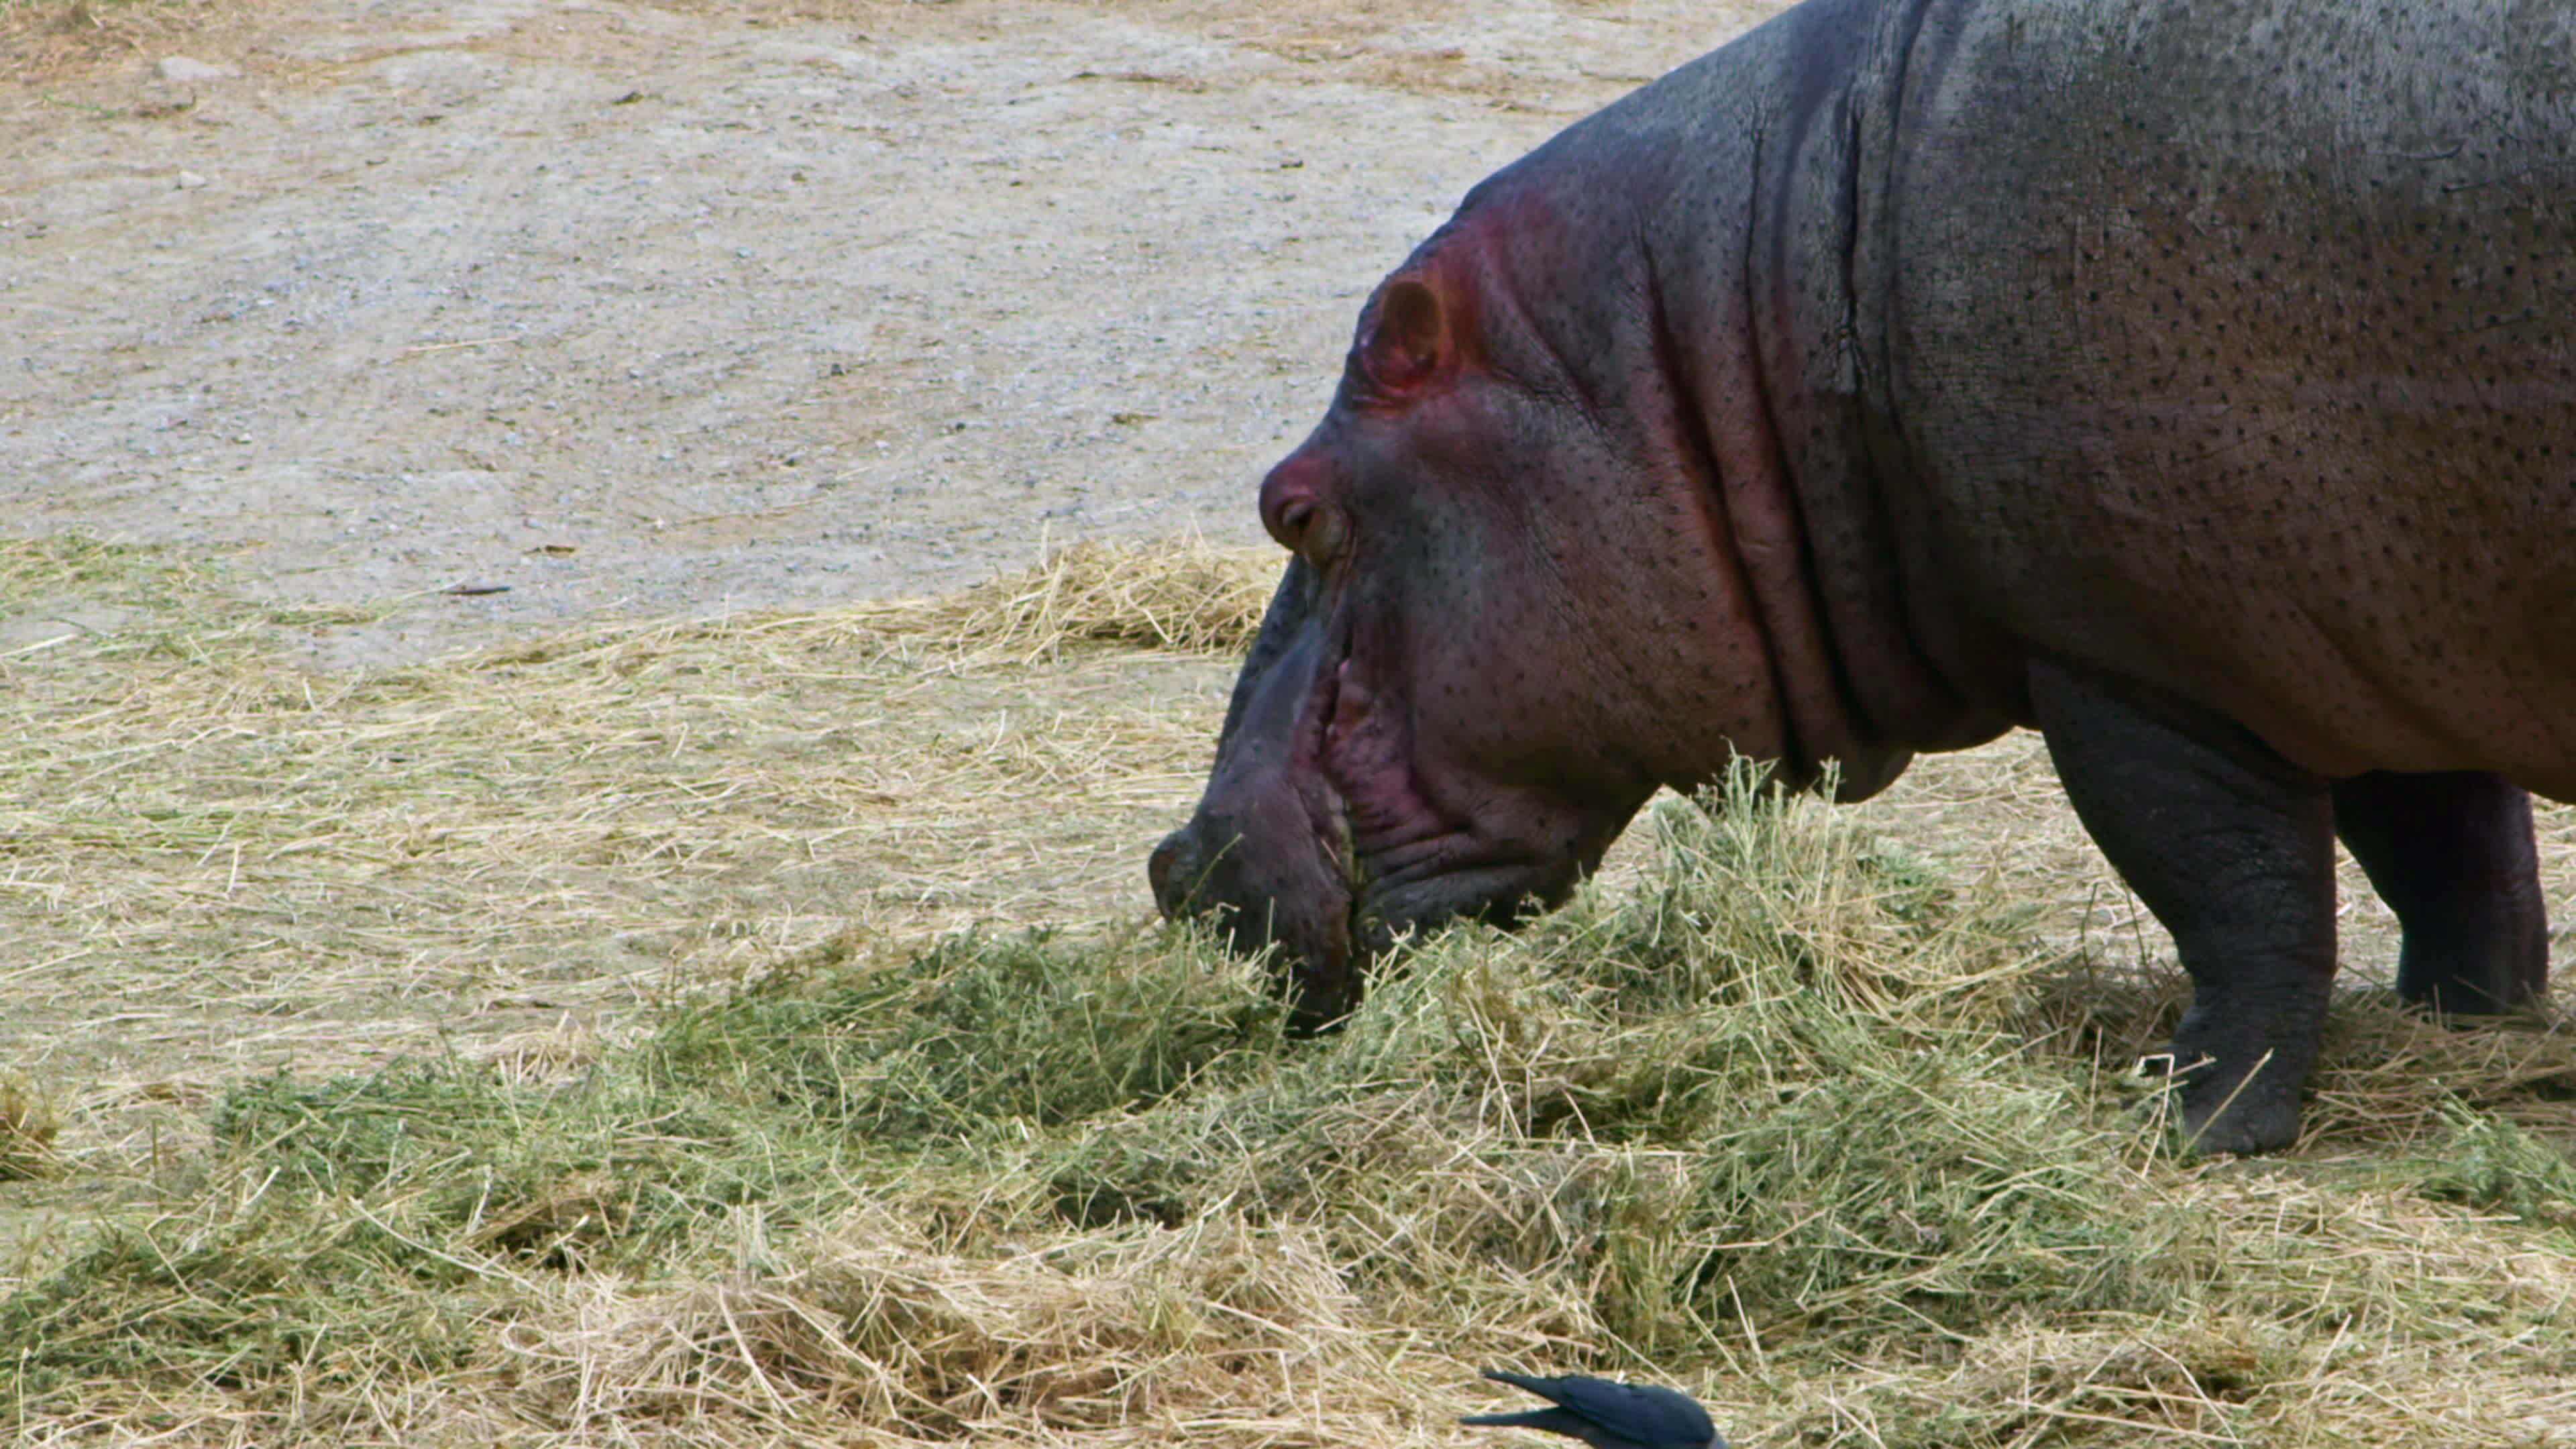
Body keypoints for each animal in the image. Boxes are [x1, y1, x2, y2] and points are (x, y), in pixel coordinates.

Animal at [1151, 0, 2575, 1155]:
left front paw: (2195, 1122)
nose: (1174, 866)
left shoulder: (2139, 666)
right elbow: (2458, 870)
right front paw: (2468, 1035)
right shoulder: (2367, 652)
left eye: (1293, 508)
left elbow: (2241, 899)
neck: (1750, 295)